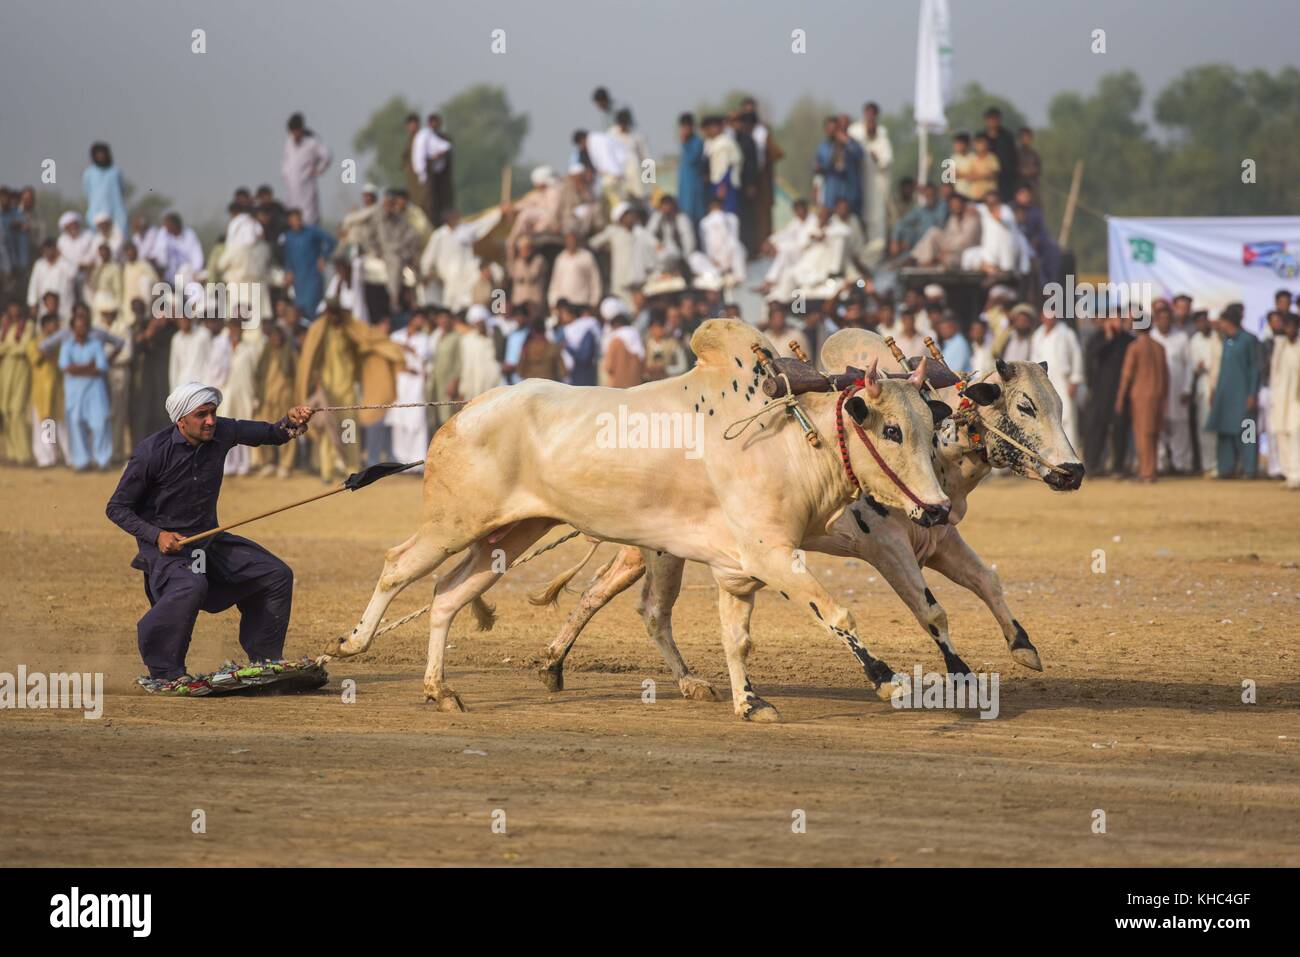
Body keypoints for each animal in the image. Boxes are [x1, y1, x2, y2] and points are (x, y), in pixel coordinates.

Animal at [325, 320, 952, 721]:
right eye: (891, 429)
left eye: (929, 425)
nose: (939, 507)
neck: (791, 437)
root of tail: (465, 411)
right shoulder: (770, 554)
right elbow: (836, 612)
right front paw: (887, 680)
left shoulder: (737, 571)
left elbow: (737, 639)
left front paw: (748, 701)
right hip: (451, 526)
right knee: (397, 567)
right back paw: (351, 644)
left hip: (509, 536)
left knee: (447, 595)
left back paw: (440, 690)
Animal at [533, 327, 1085, 699]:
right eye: (1026, 406)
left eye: (1060, 405)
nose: (1074, 470)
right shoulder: (886, 546)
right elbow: (930, 610)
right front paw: (959, 674)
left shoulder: (938, 538)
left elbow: (986, 581)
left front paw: (1023, 646)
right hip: (661, 552)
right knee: (645, 608)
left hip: (645, 550)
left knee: (601, 593)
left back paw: (556, 664)